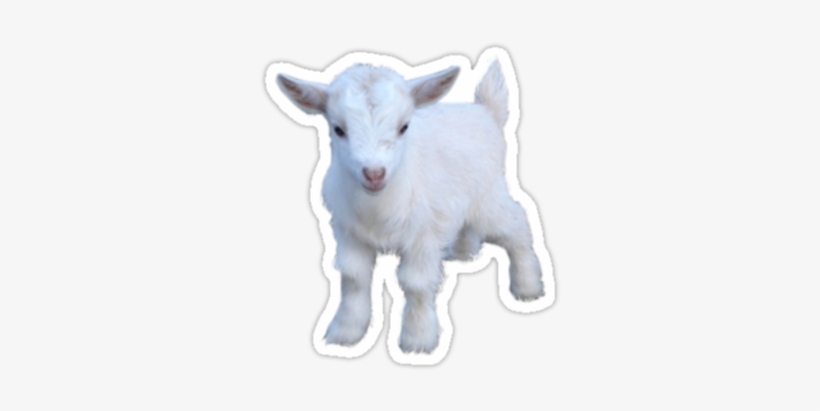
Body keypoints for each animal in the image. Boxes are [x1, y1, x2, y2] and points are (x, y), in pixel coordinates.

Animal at [271, 52, 551, 356]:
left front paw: (417, 341)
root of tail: (485, 111)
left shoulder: (424, 235)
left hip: (488, 196)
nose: (374, 174)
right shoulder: (349, 233)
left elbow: (415, 284)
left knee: (516, 224)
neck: (378, 207)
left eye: (404, 127)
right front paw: (345, 333)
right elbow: (354, 277)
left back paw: (527, 287)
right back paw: (463, 253)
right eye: (338, 129)